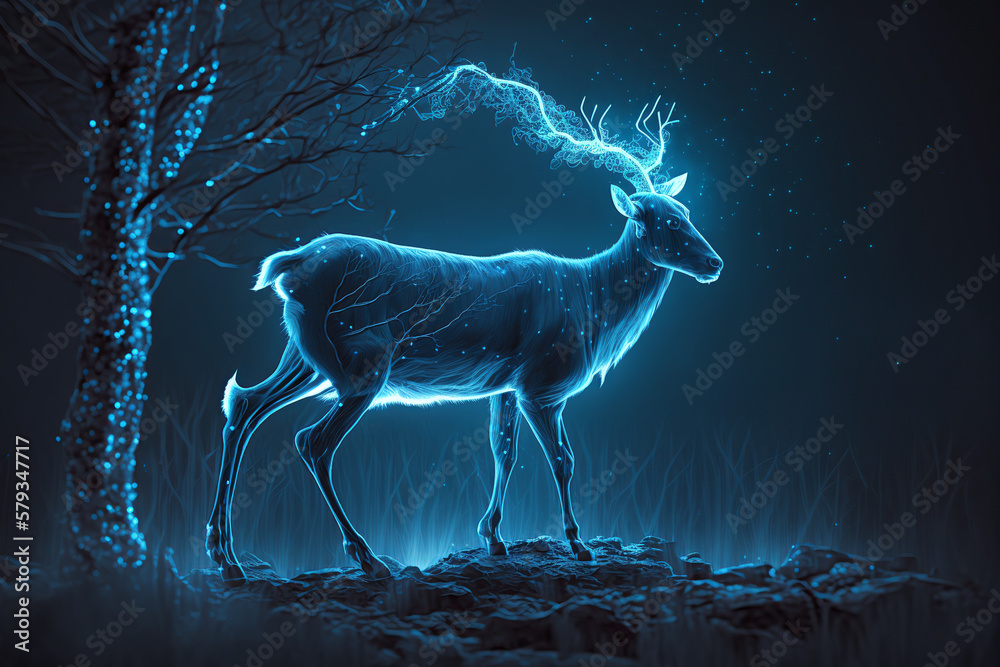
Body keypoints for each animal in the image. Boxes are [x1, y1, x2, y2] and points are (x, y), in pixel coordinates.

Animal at [205, 70, 723, 584]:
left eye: (688, 214)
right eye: (668, 223)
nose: (715, 263)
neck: (591, 302)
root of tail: (289, 266)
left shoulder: (507, 384)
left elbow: (503, 452)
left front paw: (494, 538)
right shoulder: (544, 383)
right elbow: (564, 460)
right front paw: (579, 545)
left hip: (306, 355)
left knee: (244, 405)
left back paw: (226, 557)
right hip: (360, 360)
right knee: (311, 441)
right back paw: (366, 557)